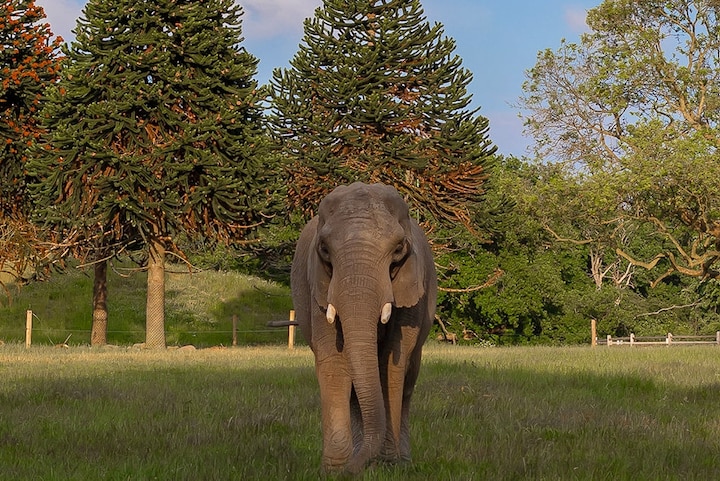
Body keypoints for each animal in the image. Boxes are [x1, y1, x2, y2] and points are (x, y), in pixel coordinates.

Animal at [291, 182, 437, 474]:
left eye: (398, 249)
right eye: (324, 249)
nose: (353, 469)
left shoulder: (412, 285)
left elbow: (391, 365)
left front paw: (389, 464)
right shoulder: (319, 288)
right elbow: (334, 362)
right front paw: (335, 471)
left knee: (408, 381)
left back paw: (402, 460)